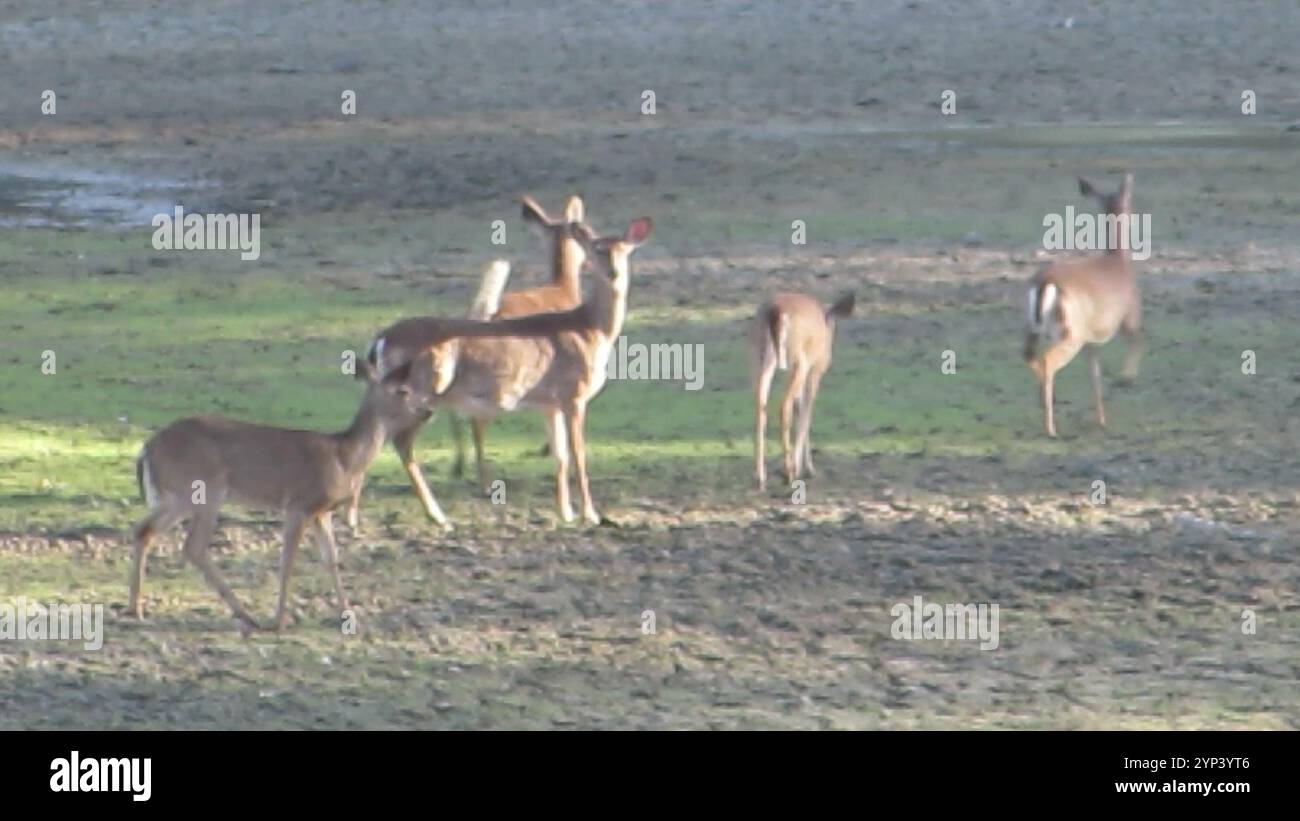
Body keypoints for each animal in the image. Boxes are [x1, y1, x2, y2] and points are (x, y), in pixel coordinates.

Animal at [128, 374, 424, 632]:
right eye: (403, 391)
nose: (426, 410)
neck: (344, 458)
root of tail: (147, 448)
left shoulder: (322, 512)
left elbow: (331, 558)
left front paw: (350, 616)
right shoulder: (298, 504)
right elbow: (288, 561)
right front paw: (279, 620)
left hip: (176, 498)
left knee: (144, 530)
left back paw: (136, 609)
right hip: (204, 491)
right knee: (193, 545)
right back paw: (246, 615)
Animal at [374, 215, 654, 526]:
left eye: (625, 251)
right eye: (597, 249)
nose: (614, 272)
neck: (591, 330)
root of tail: (383, 339)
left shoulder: (550, 403)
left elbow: (561, 456)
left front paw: (565, 512)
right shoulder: (574, 394)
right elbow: (579, 454)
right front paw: (590, 514)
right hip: (426, 387)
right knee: (401, 441)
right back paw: (437, 514)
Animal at [752, 292, 855, 491]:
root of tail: (776, 311)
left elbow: (800, 409)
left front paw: (806, 466)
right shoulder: (815, 372)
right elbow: (807, 412)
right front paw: (804, 467)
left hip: (761, 358)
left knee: (761, 407)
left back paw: (761, 477)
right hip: (799, 361)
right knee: (784, 407)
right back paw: (788, 471)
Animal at [1024, 173, 1142, 437]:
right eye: (1129, 203)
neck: (1119, 262)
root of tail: (1045, 282)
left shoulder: (1091, 341)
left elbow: (1095, 375)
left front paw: (1102, 419)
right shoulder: (1129, 318)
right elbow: (1137, 344)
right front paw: (1126, 379)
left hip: (1033, 329)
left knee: (1030, 356)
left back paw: (1045, 404)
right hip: (1070, 333)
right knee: (1048, 361)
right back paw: (1050, 428)